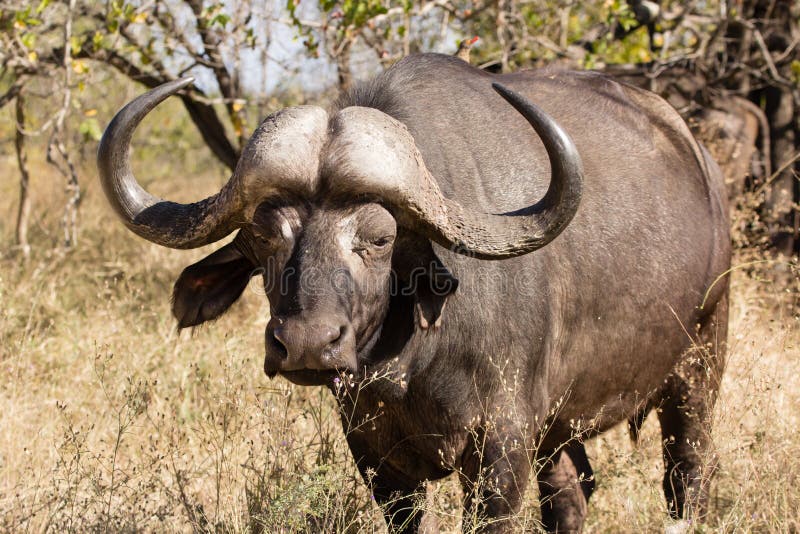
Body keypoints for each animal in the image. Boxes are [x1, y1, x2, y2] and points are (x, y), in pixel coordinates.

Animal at [98, 53, 730, 532]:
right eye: (263, 237)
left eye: (380, 238)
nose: (304, 344)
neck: (412, 361)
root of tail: (700, 159)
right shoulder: (378, 458)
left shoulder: (499, 452)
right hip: (559, 428)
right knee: (571, 500)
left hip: (699, 367)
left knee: (686, 480)